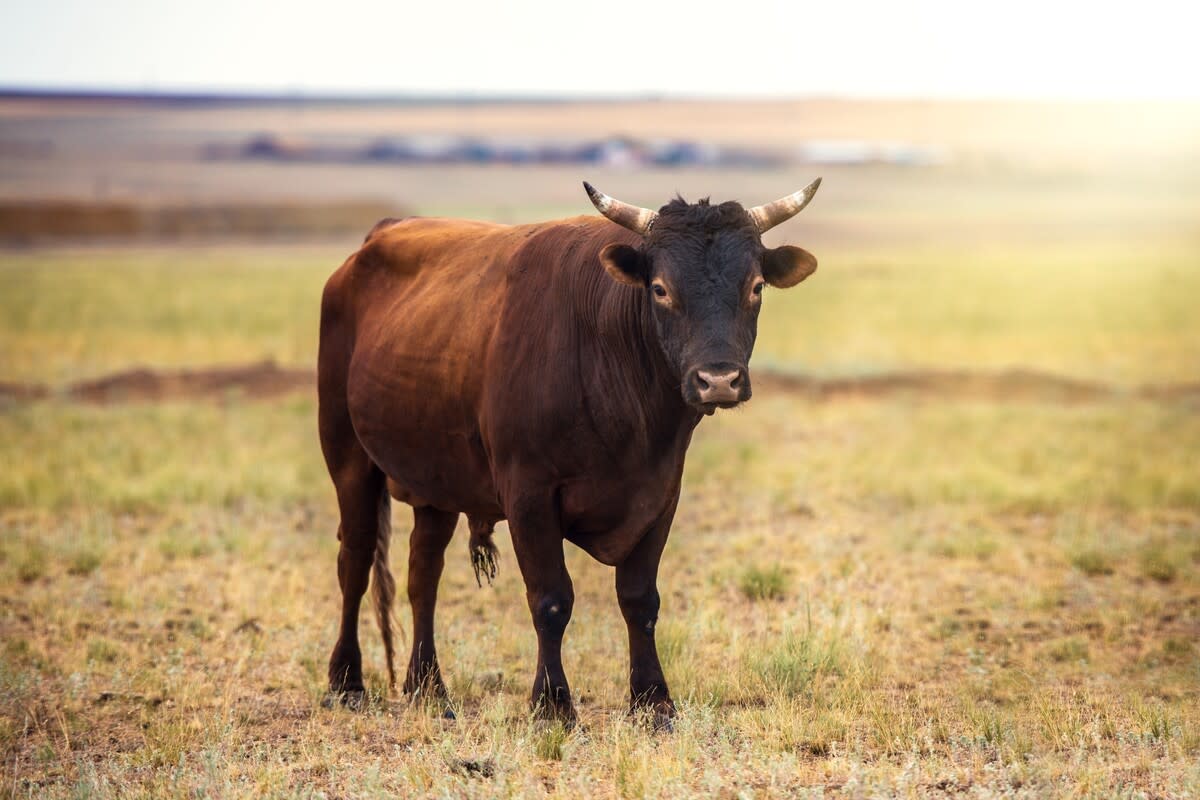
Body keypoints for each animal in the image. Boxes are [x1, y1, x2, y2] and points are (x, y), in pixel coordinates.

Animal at [317, 179, 822, 725]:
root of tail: (370, 244)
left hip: (436, 482)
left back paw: (428, 686)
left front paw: (652, 699)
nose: (719, 380)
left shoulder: (660, 495)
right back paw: (346, 679)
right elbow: (551, 598)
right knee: (355, 561)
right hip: (348, 458)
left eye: (755, 287)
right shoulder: (529, 496)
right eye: (660, 289)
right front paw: (552, 703)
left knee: (422, 573)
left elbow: (640, 599)